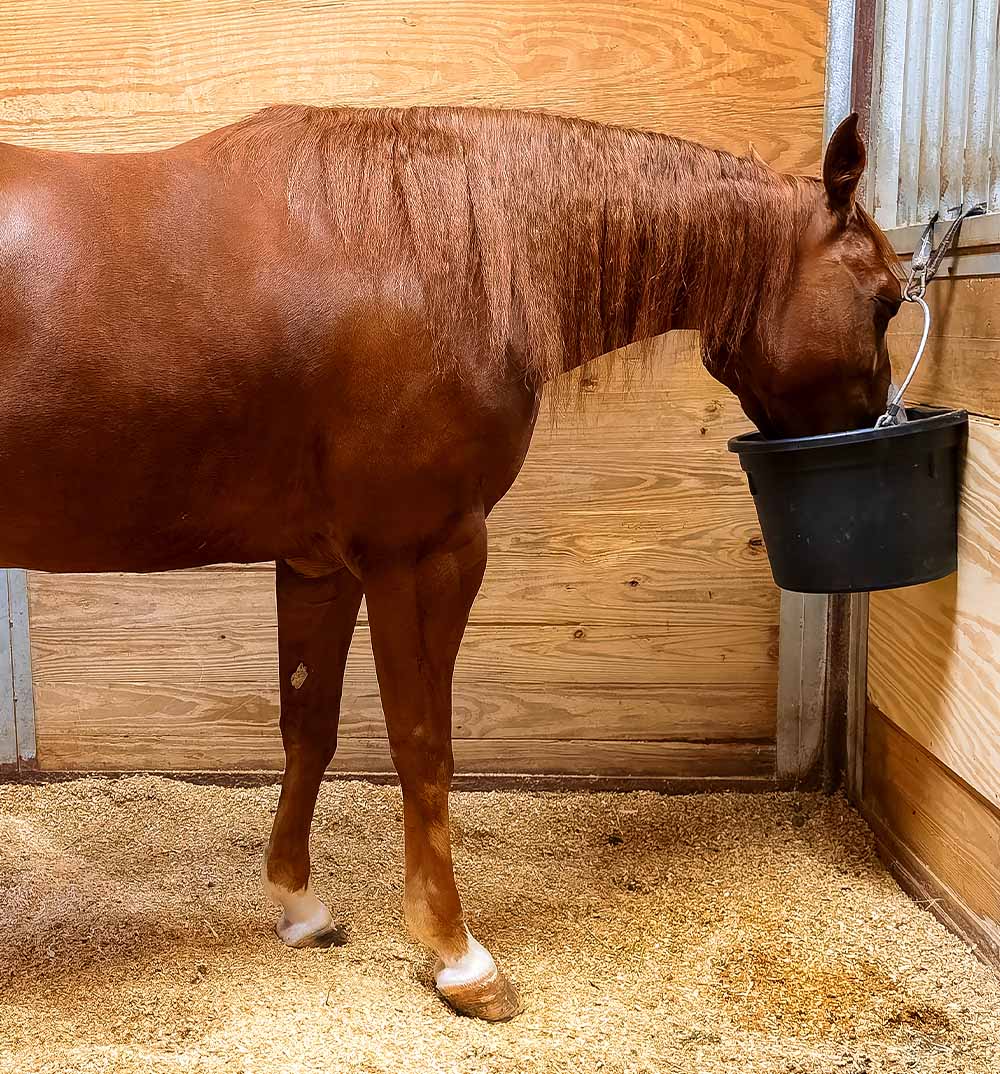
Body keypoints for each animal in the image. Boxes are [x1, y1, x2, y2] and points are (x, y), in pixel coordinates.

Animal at [0, 104, 902, 1020]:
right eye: (886, 302)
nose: (872, 432)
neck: (422, 257)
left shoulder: (321, 566)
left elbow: (310, 729)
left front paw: (299, 906)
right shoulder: (424, 556)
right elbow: (423, 746)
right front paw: (459, 957)